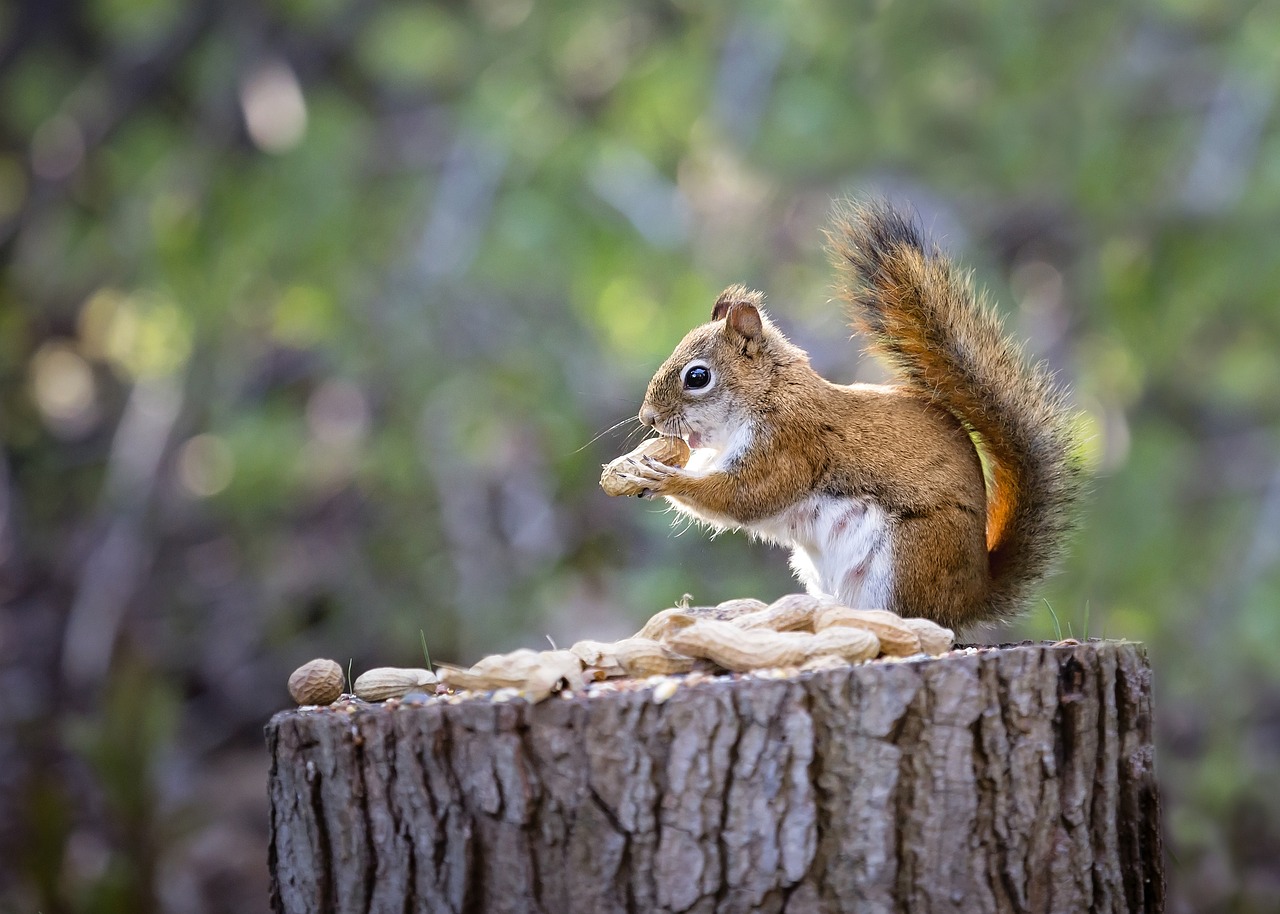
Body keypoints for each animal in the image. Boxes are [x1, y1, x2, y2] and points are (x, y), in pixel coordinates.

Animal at [612, 200, 1084, 630]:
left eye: (697, 376)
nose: (648, 417)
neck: (768, 394)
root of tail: (971, 596)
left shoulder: (791, 443)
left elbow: (746, 495)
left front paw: (663, 478)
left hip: (906, 558)